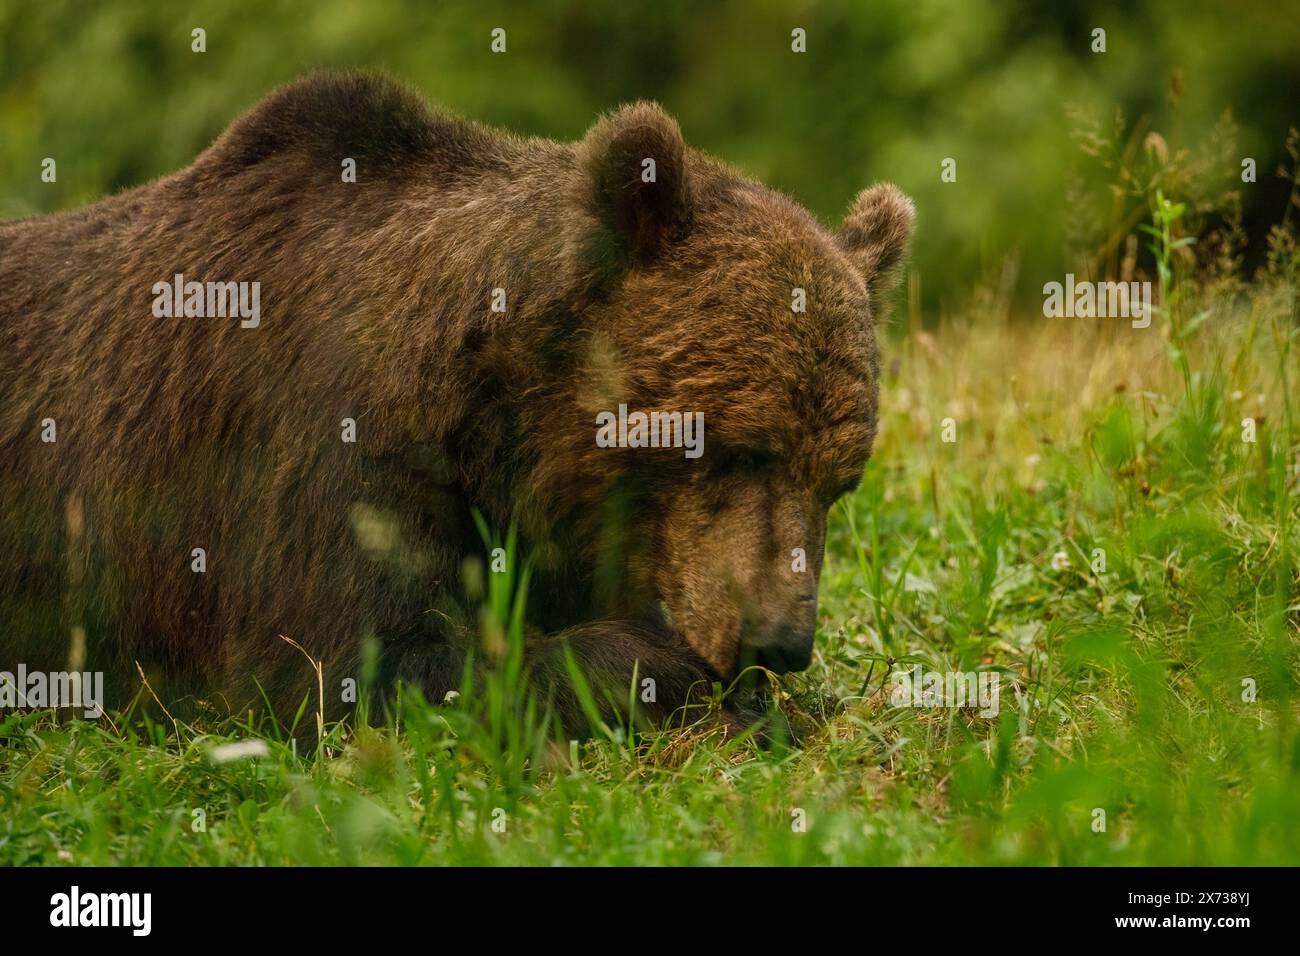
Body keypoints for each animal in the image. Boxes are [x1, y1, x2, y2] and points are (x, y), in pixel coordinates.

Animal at [0, 71, 913, 733]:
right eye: (736, 449)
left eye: (839, 482)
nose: (778, 641)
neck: (497, 414)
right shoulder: (317, 441)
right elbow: (354, 665)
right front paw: (665, 666)